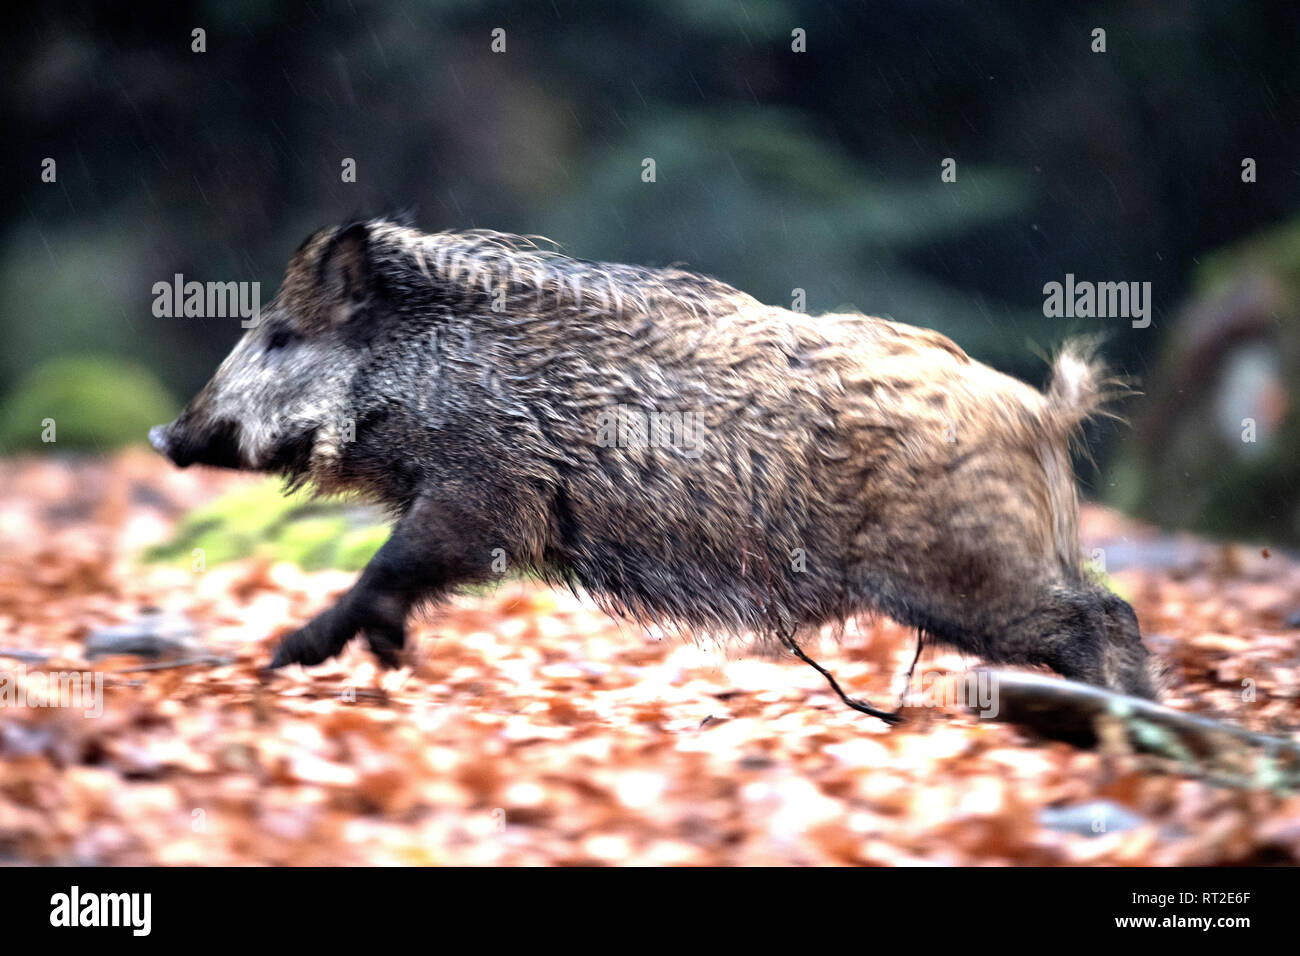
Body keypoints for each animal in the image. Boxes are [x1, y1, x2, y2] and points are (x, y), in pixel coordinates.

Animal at [150, 219, 1159, 721]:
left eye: (282, 337)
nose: (166, 436)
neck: (423, 372)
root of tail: (1042, 411)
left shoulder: (490, 490)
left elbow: (392, 561)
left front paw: (287, 656)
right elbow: (401, 572)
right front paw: (387, 657)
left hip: (964, 574)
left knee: (1104, 613)